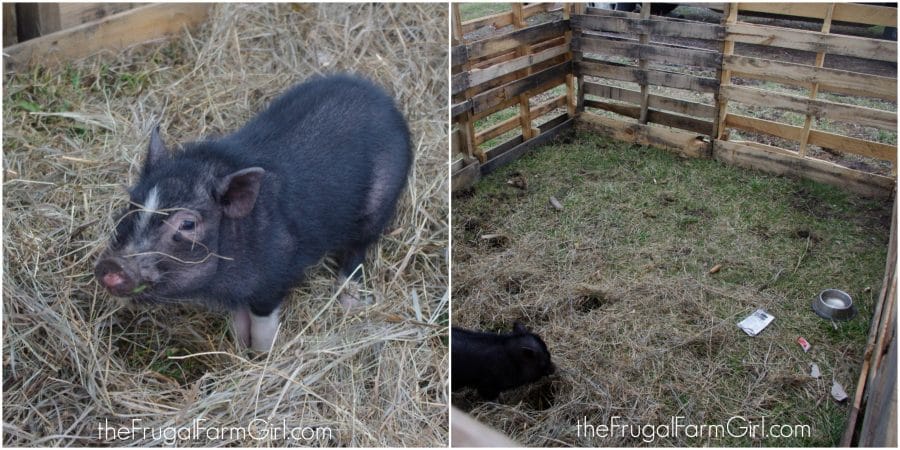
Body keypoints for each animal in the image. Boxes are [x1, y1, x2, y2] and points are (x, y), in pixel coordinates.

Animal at [94, 75, 412, 352]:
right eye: (132, 203)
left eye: (187, 224)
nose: (112, 264)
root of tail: (384, 99)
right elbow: (239, 321)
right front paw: (240, 349)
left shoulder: (274, 277)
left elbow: (263, 325)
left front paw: (262, 356)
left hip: (379, 204)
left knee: (358, 251)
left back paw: (347, 301)